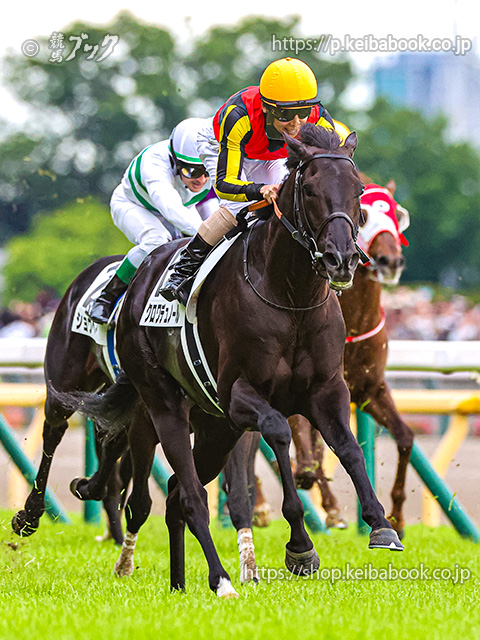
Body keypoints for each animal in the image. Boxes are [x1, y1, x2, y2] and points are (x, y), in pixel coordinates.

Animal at [13, 123, 403, 597]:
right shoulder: (240, 396)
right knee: (82, 447)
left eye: (357, 189)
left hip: (213, 427)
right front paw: (300, 545)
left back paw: (181, 580)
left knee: (175, 490)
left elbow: (347, 448)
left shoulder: (327, 391)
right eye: (309, 188)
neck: (290, 297)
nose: (341, 259)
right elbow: (278, 433)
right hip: (134, 398)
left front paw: (381, 524)